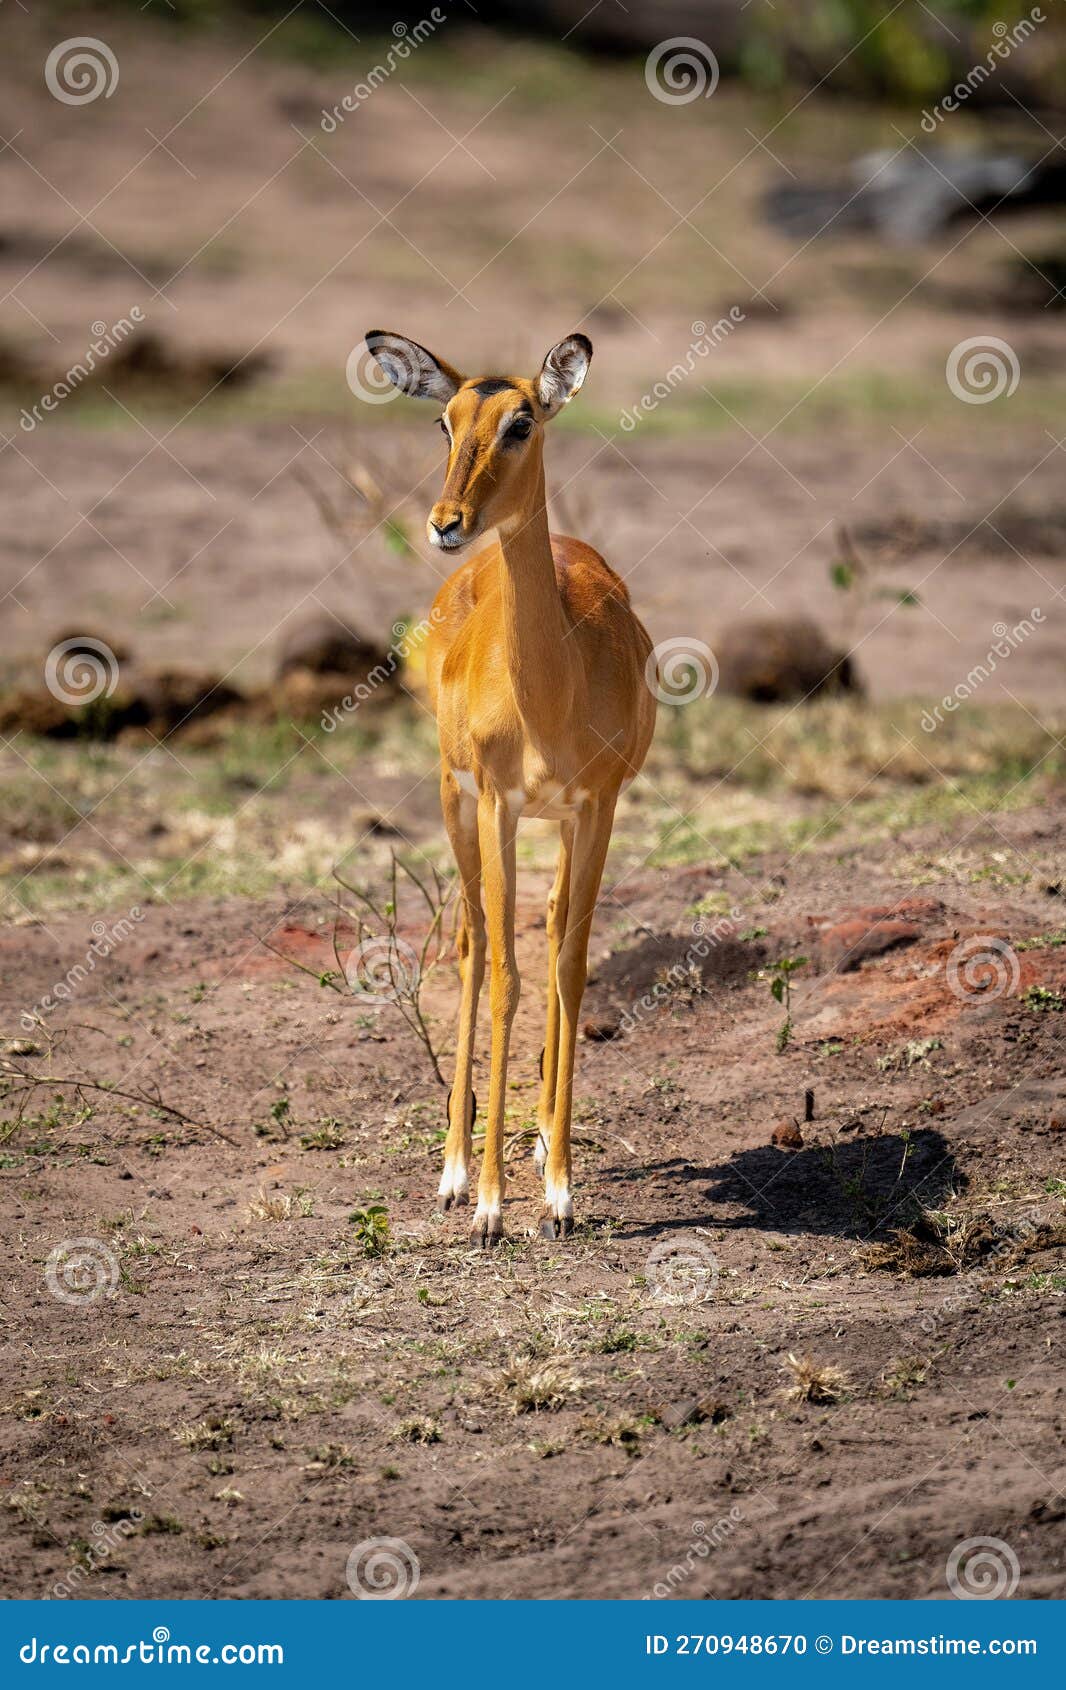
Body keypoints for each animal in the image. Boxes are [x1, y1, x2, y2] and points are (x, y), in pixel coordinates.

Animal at [366, 330, 655, 1245]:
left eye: (522, 421)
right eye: (444, 420)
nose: (446, 523)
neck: (555, 687)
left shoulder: (596, 806)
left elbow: (569, 965)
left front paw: (559, 1188)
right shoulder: (497, 802)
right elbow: (504, 975)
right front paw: (490, 1206)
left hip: (554, 825)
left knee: (553, 933)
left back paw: (535, 1141)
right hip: (455, 801)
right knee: (471, 945)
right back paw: (456, 1173)